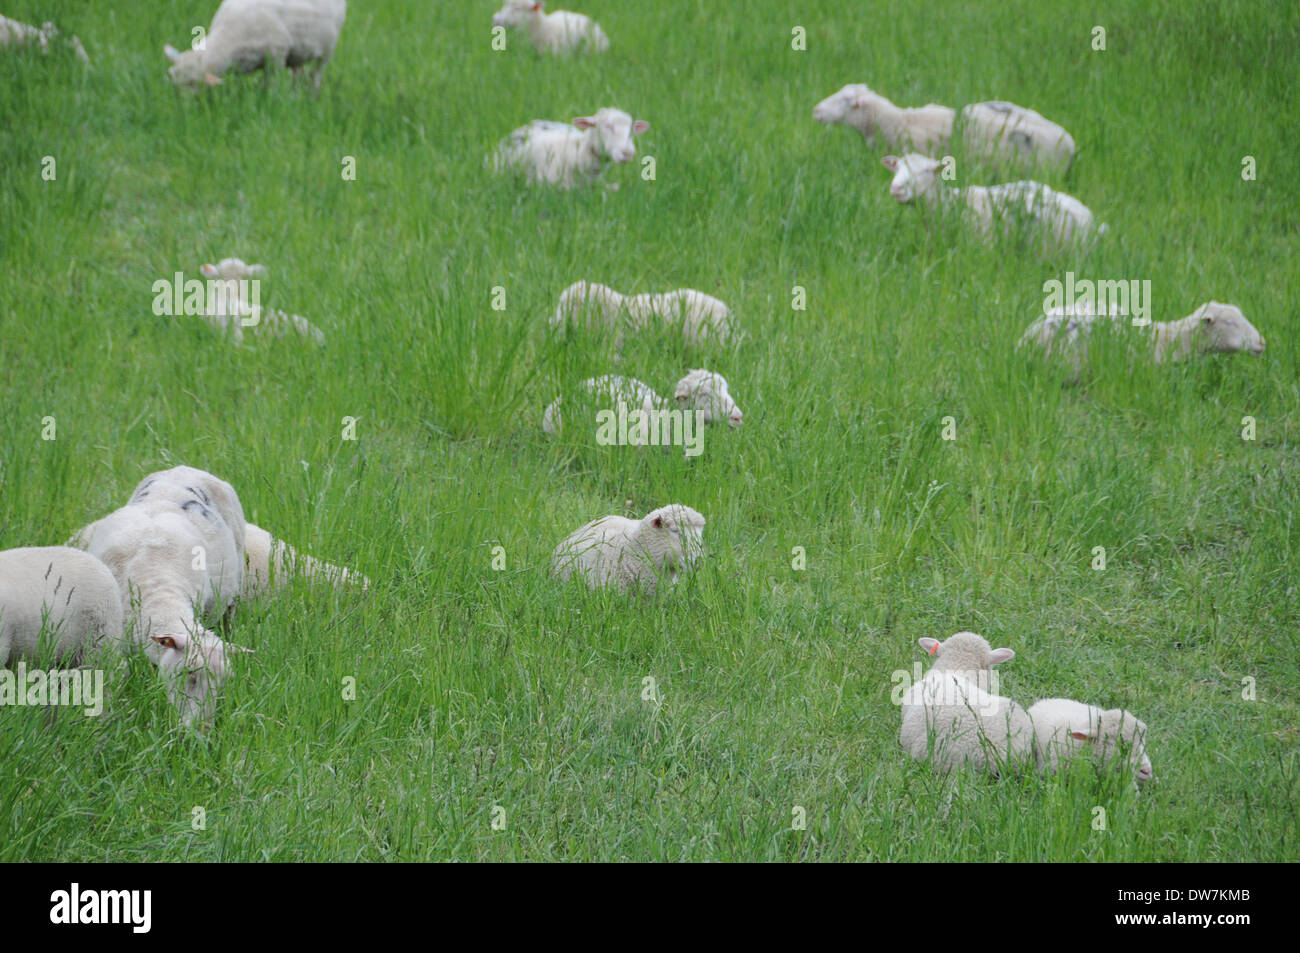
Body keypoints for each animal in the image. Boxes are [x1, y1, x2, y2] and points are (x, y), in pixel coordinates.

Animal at [164, 0, 347, 91]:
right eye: (173, 81)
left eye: (192, 83)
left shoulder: (277, 56)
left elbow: (271, 85)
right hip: (299, 53)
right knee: (297, 73)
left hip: (327, 50)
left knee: (316, 74)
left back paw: (312, 96)